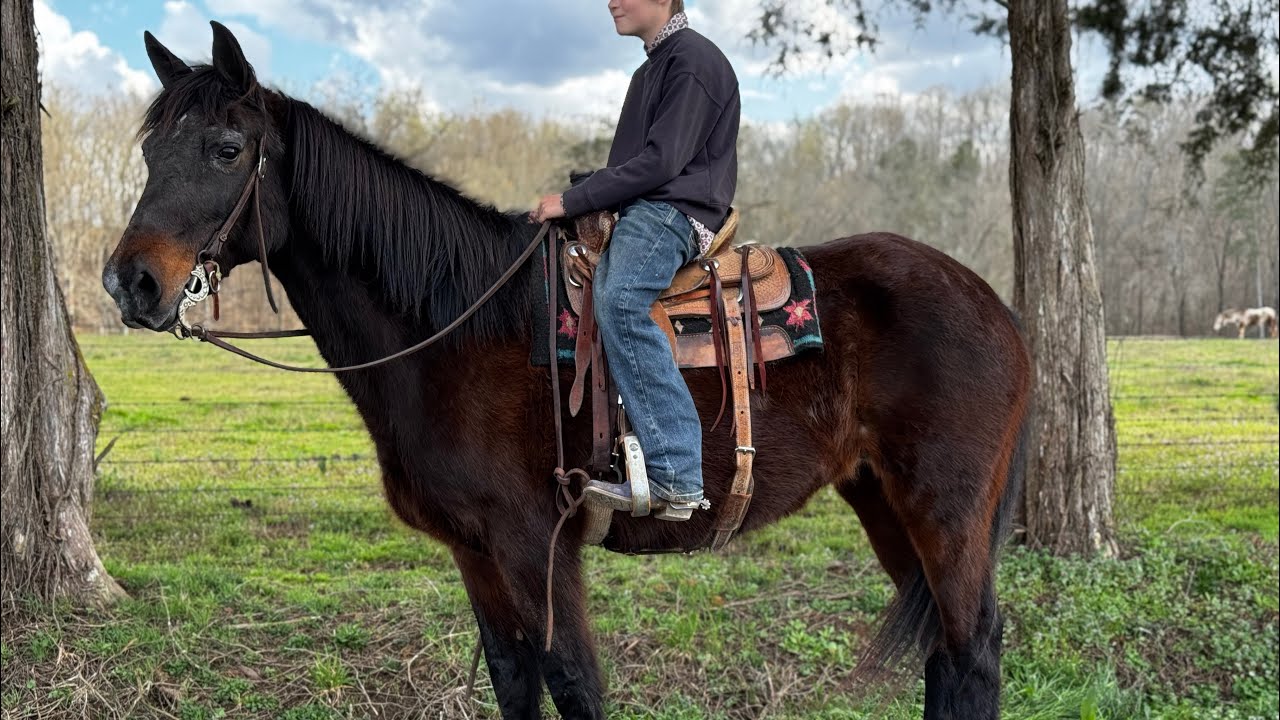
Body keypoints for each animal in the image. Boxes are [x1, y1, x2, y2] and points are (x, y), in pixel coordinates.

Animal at [102, 23, 1031, 720]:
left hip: (945, 511)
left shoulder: (534, 547)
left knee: (974, 651)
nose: (130, 282)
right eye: (148, 153)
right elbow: (514, 682)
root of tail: (994, 303)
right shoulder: (476, 553)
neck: (451, 327)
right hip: (883, 500)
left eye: (227, 148)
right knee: (948, 655)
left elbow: (574, 686)